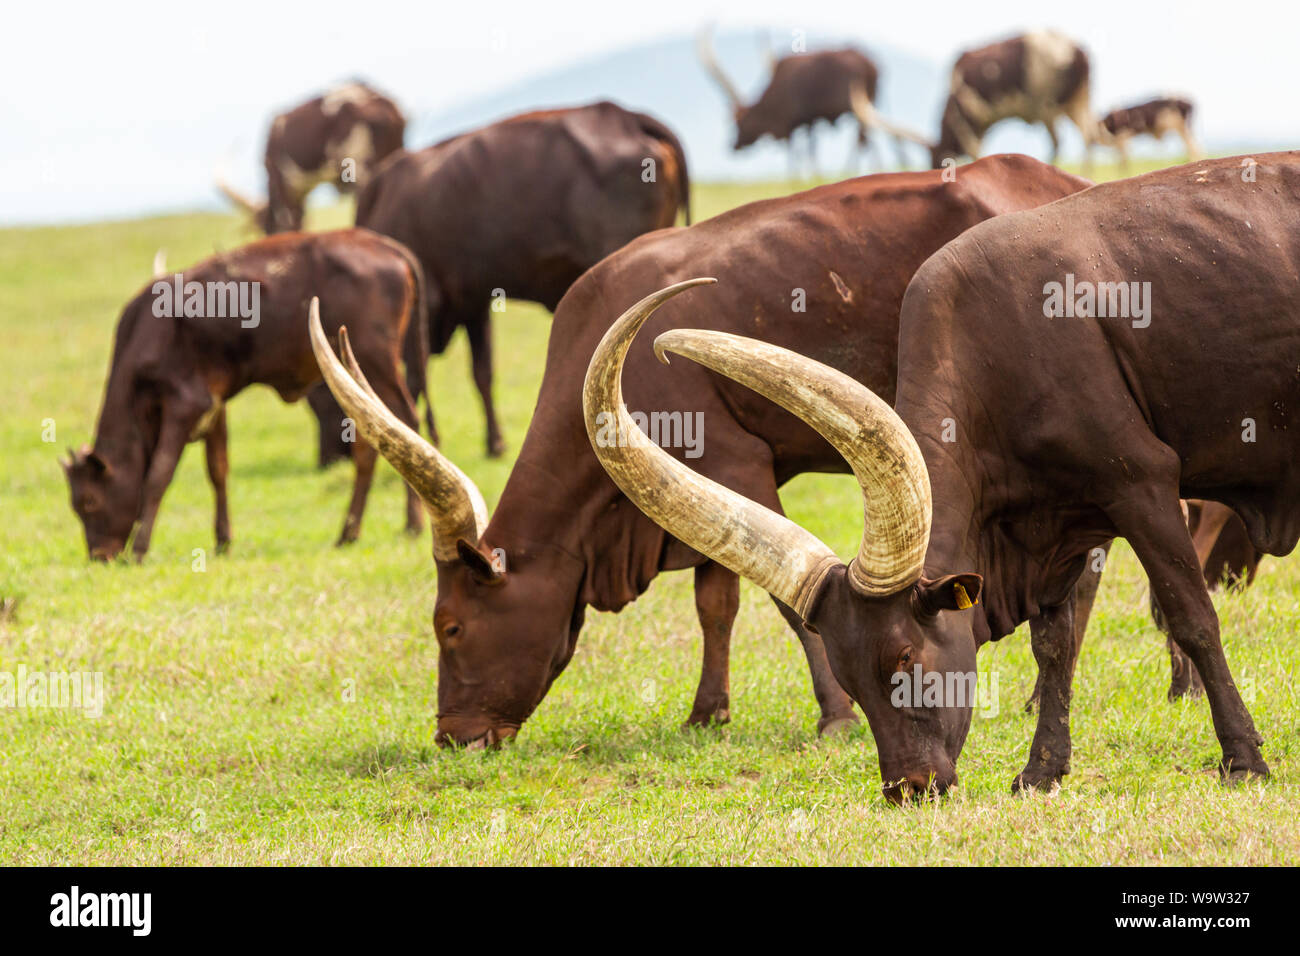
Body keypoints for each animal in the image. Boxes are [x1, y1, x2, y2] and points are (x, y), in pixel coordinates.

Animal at [63, 229, 427, 561]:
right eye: (77, 507)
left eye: (89, 501)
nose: (99, 555)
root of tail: (385, 246)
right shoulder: (214, 405)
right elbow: (218, 470)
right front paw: (223, 541)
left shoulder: (185, 406)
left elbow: (158, 476)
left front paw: (140, 549)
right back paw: (349, 533)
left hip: (375, 366)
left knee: (405, 428)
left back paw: (410, 524)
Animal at [305, 101, 691, 465]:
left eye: (320, 395)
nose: (328, 460)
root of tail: (625, 115)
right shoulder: (475, 303)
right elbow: (482, 374)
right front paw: (495, 444)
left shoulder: (426, 307)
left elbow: (415, 377)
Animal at [307, 154, 1089, 749]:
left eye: (452, 627)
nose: (453, 737)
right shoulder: (699, 493)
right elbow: (715, 602)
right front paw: (708, 711)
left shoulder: (734, 468)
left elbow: (775, 600)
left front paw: (834, 716)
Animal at [588, 153, 1296, 802]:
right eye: (848, 676)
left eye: (904, 657)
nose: (908, 786)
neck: (1002, 343)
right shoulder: (1059, 526)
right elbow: (1054, 646)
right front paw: (1041, 772)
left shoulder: (1141, 486)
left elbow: (1192, 616)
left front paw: (1243, 759)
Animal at [930, 31, 1105, 171]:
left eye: (938, 162)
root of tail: (1078, 51)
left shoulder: (971, 118)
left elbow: (974, 149)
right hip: (1077, 101)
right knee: (1089, 135)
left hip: (1048, 106)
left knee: (1057, 141)